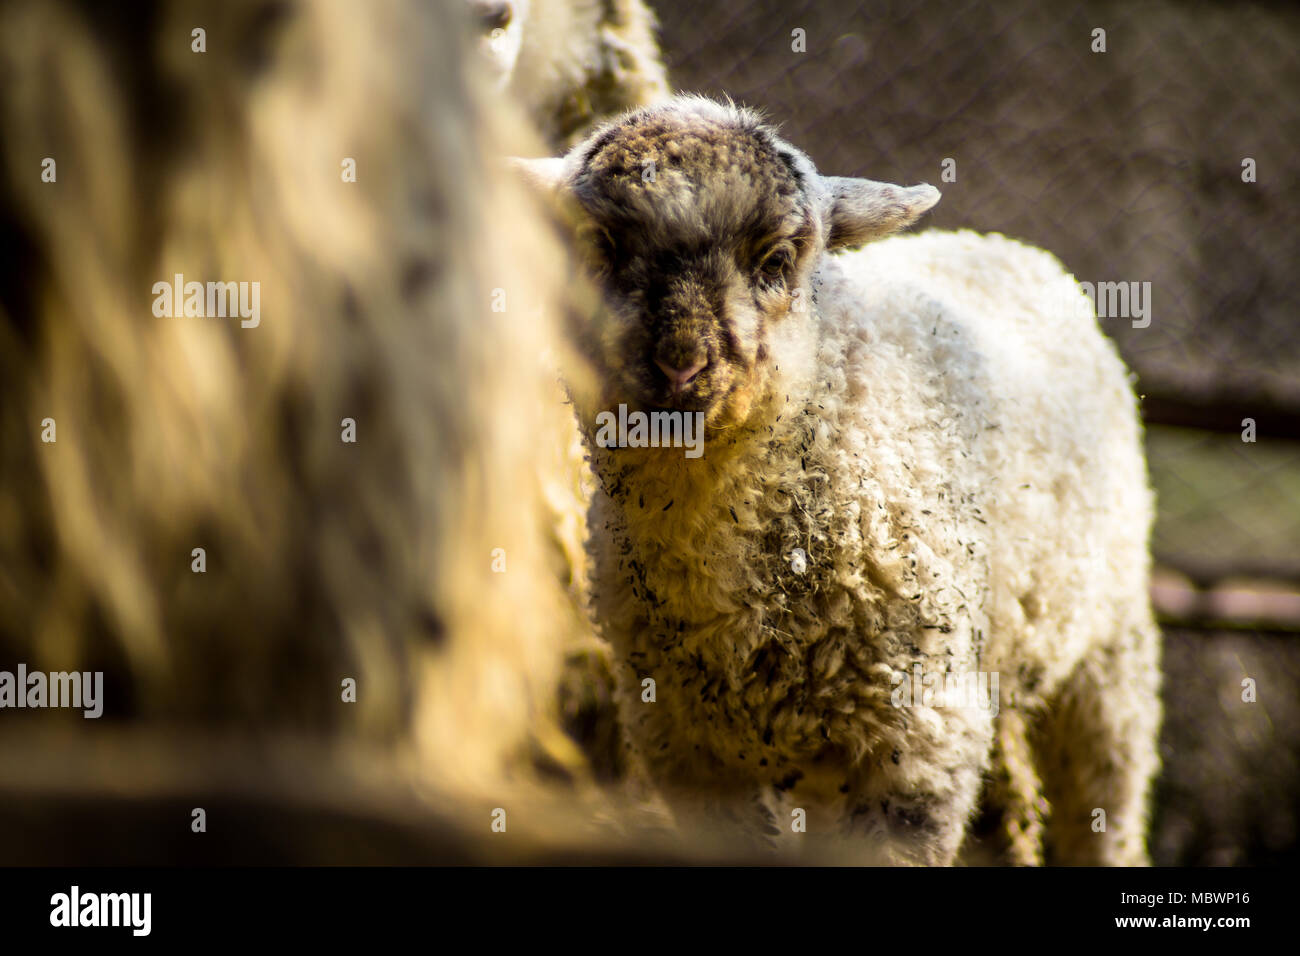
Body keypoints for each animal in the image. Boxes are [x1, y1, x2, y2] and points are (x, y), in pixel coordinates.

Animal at [517, 96, 1162, 865]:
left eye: (776, 259)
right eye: (599, 246)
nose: (681, 364)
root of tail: (1000, 244)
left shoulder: (917, 744)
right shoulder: (689, 752)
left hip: (1108, 650)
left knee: (1108, 800)